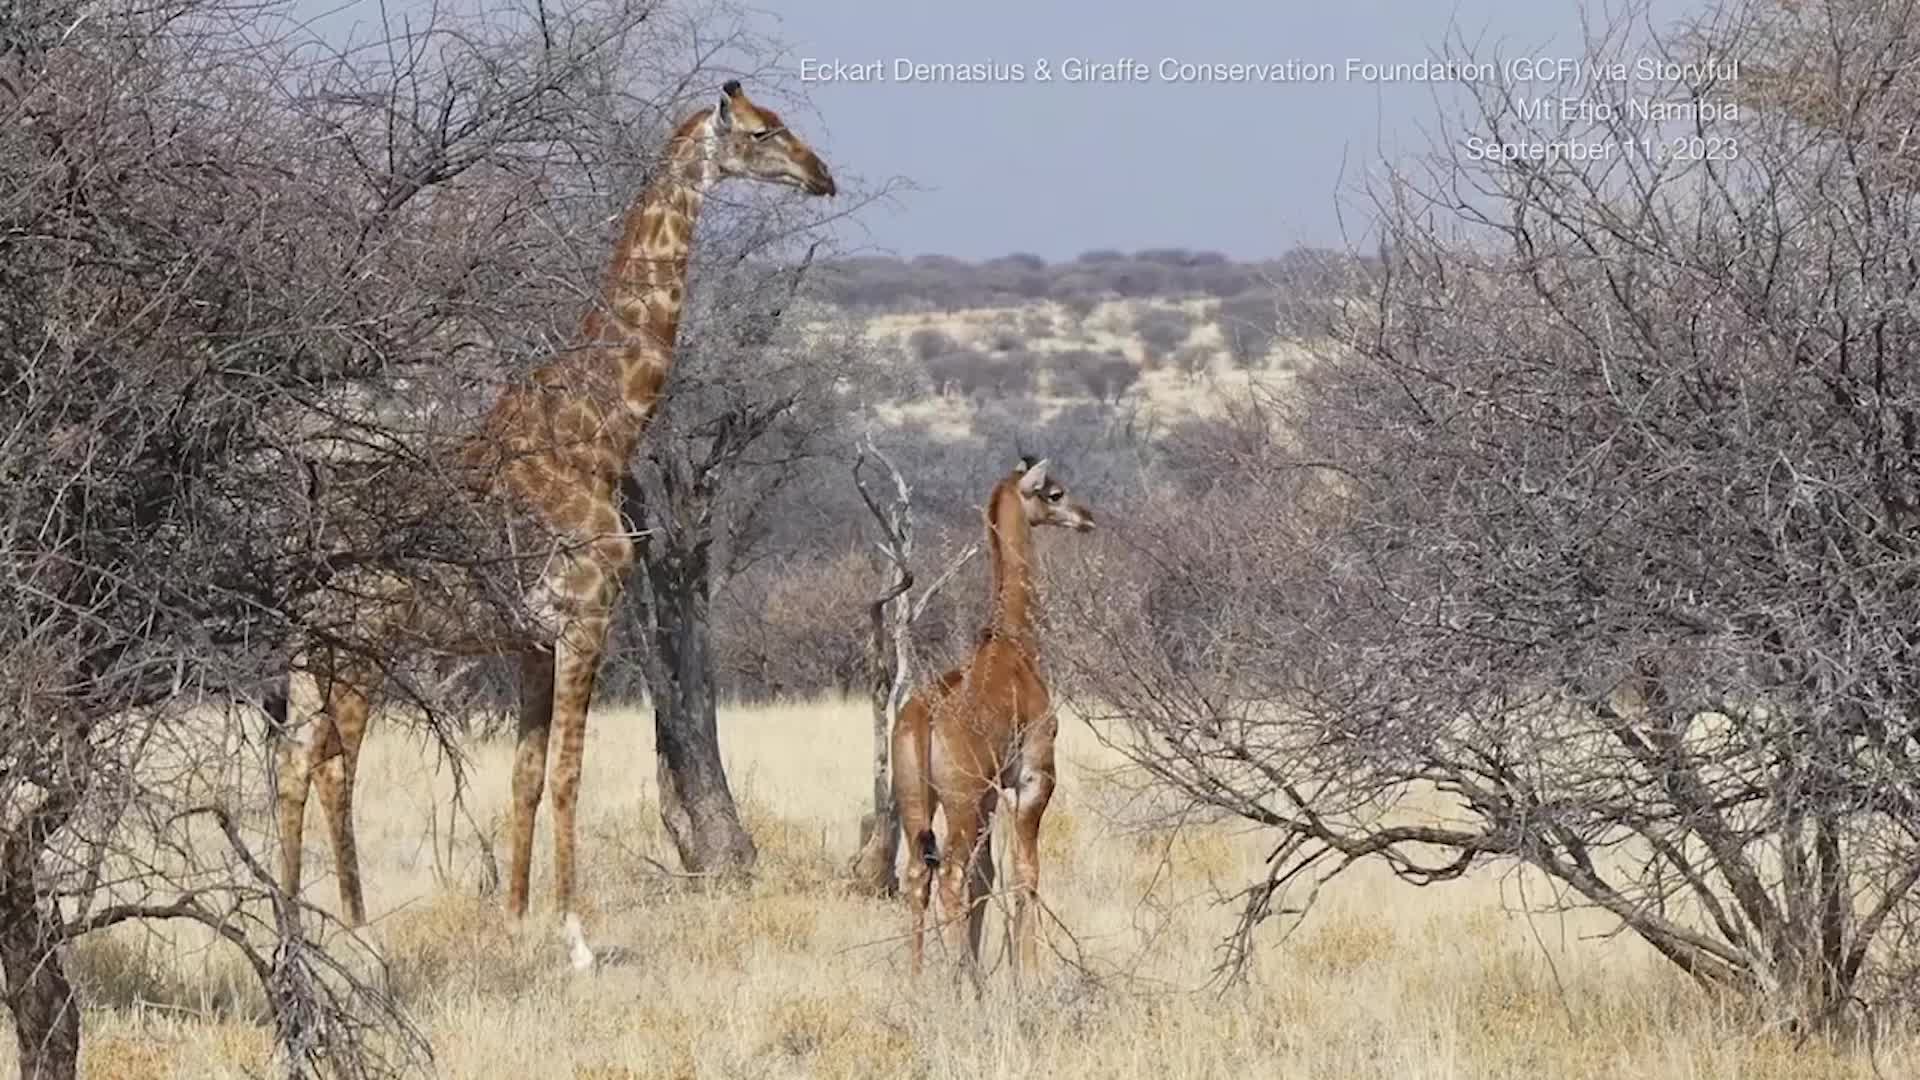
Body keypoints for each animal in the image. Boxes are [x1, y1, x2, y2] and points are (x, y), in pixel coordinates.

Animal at [274, 81, 836, 960]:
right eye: (760, 131)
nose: (822, 177)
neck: (598, 430)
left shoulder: (532, 642)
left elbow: (526, 777)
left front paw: (513, 922)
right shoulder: (585, 621)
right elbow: (571, 775)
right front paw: (575, 936)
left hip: (313, 648)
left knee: (295, 759)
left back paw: (293, 931)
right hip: (358, 643)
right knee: (328, 762)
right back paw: (354, 935)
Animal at [891, 456, 1095, 980]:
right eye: (1054, 493)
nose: (1087, 517)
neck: (1014, 643)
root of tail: (923, 721)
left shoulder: (988, 795)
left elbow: (987, 879)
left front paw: (982, 973)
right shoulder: (1032, 778)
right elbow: (1026, 873)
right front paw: (1029, 975)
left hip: (918, 799)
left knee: (918, 875)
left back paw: (918, 982)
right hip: (960, 802)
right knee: (950, 875)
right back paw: (951, 979)